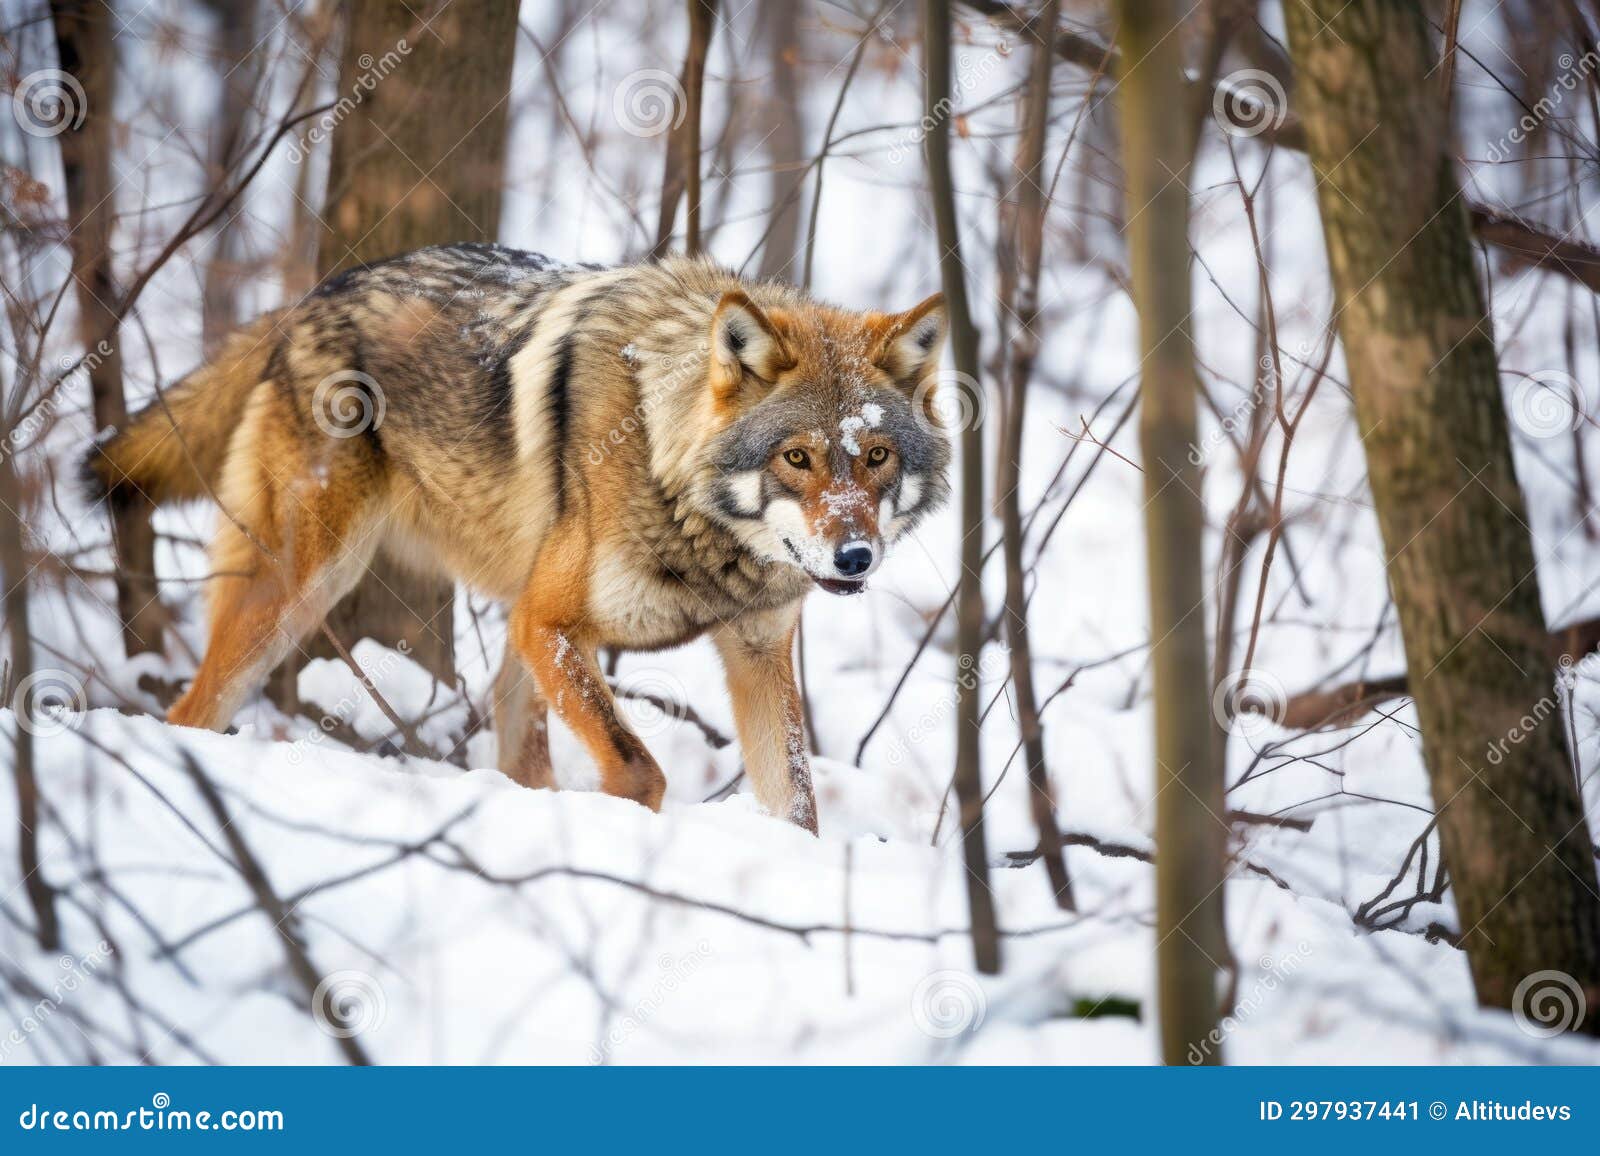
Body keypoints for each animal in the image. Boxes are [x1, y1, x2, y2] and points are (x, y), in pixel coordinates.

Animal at [85, 243, 951, 832]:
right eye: (797, 458)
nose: (854, 557)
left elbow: (798, 805)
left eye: (876, 456)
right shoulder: (551, 624)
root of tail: (308, 301)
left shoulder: (757, 652)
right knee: (193, 707)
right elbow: (639, 770)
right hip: (306, 591)